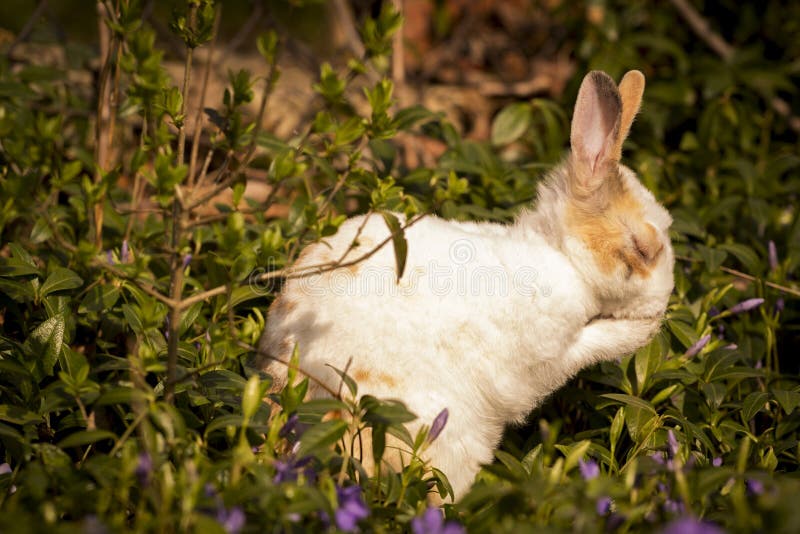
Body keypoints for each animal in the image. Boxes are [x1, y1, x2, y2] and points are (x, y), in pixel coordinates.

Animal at [257, 70, 675, 500]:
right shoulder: (549, 358)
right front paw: (641, 329)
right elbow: (596, 343)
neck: (560, 257)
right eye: (643, 249)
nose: (662, 304)